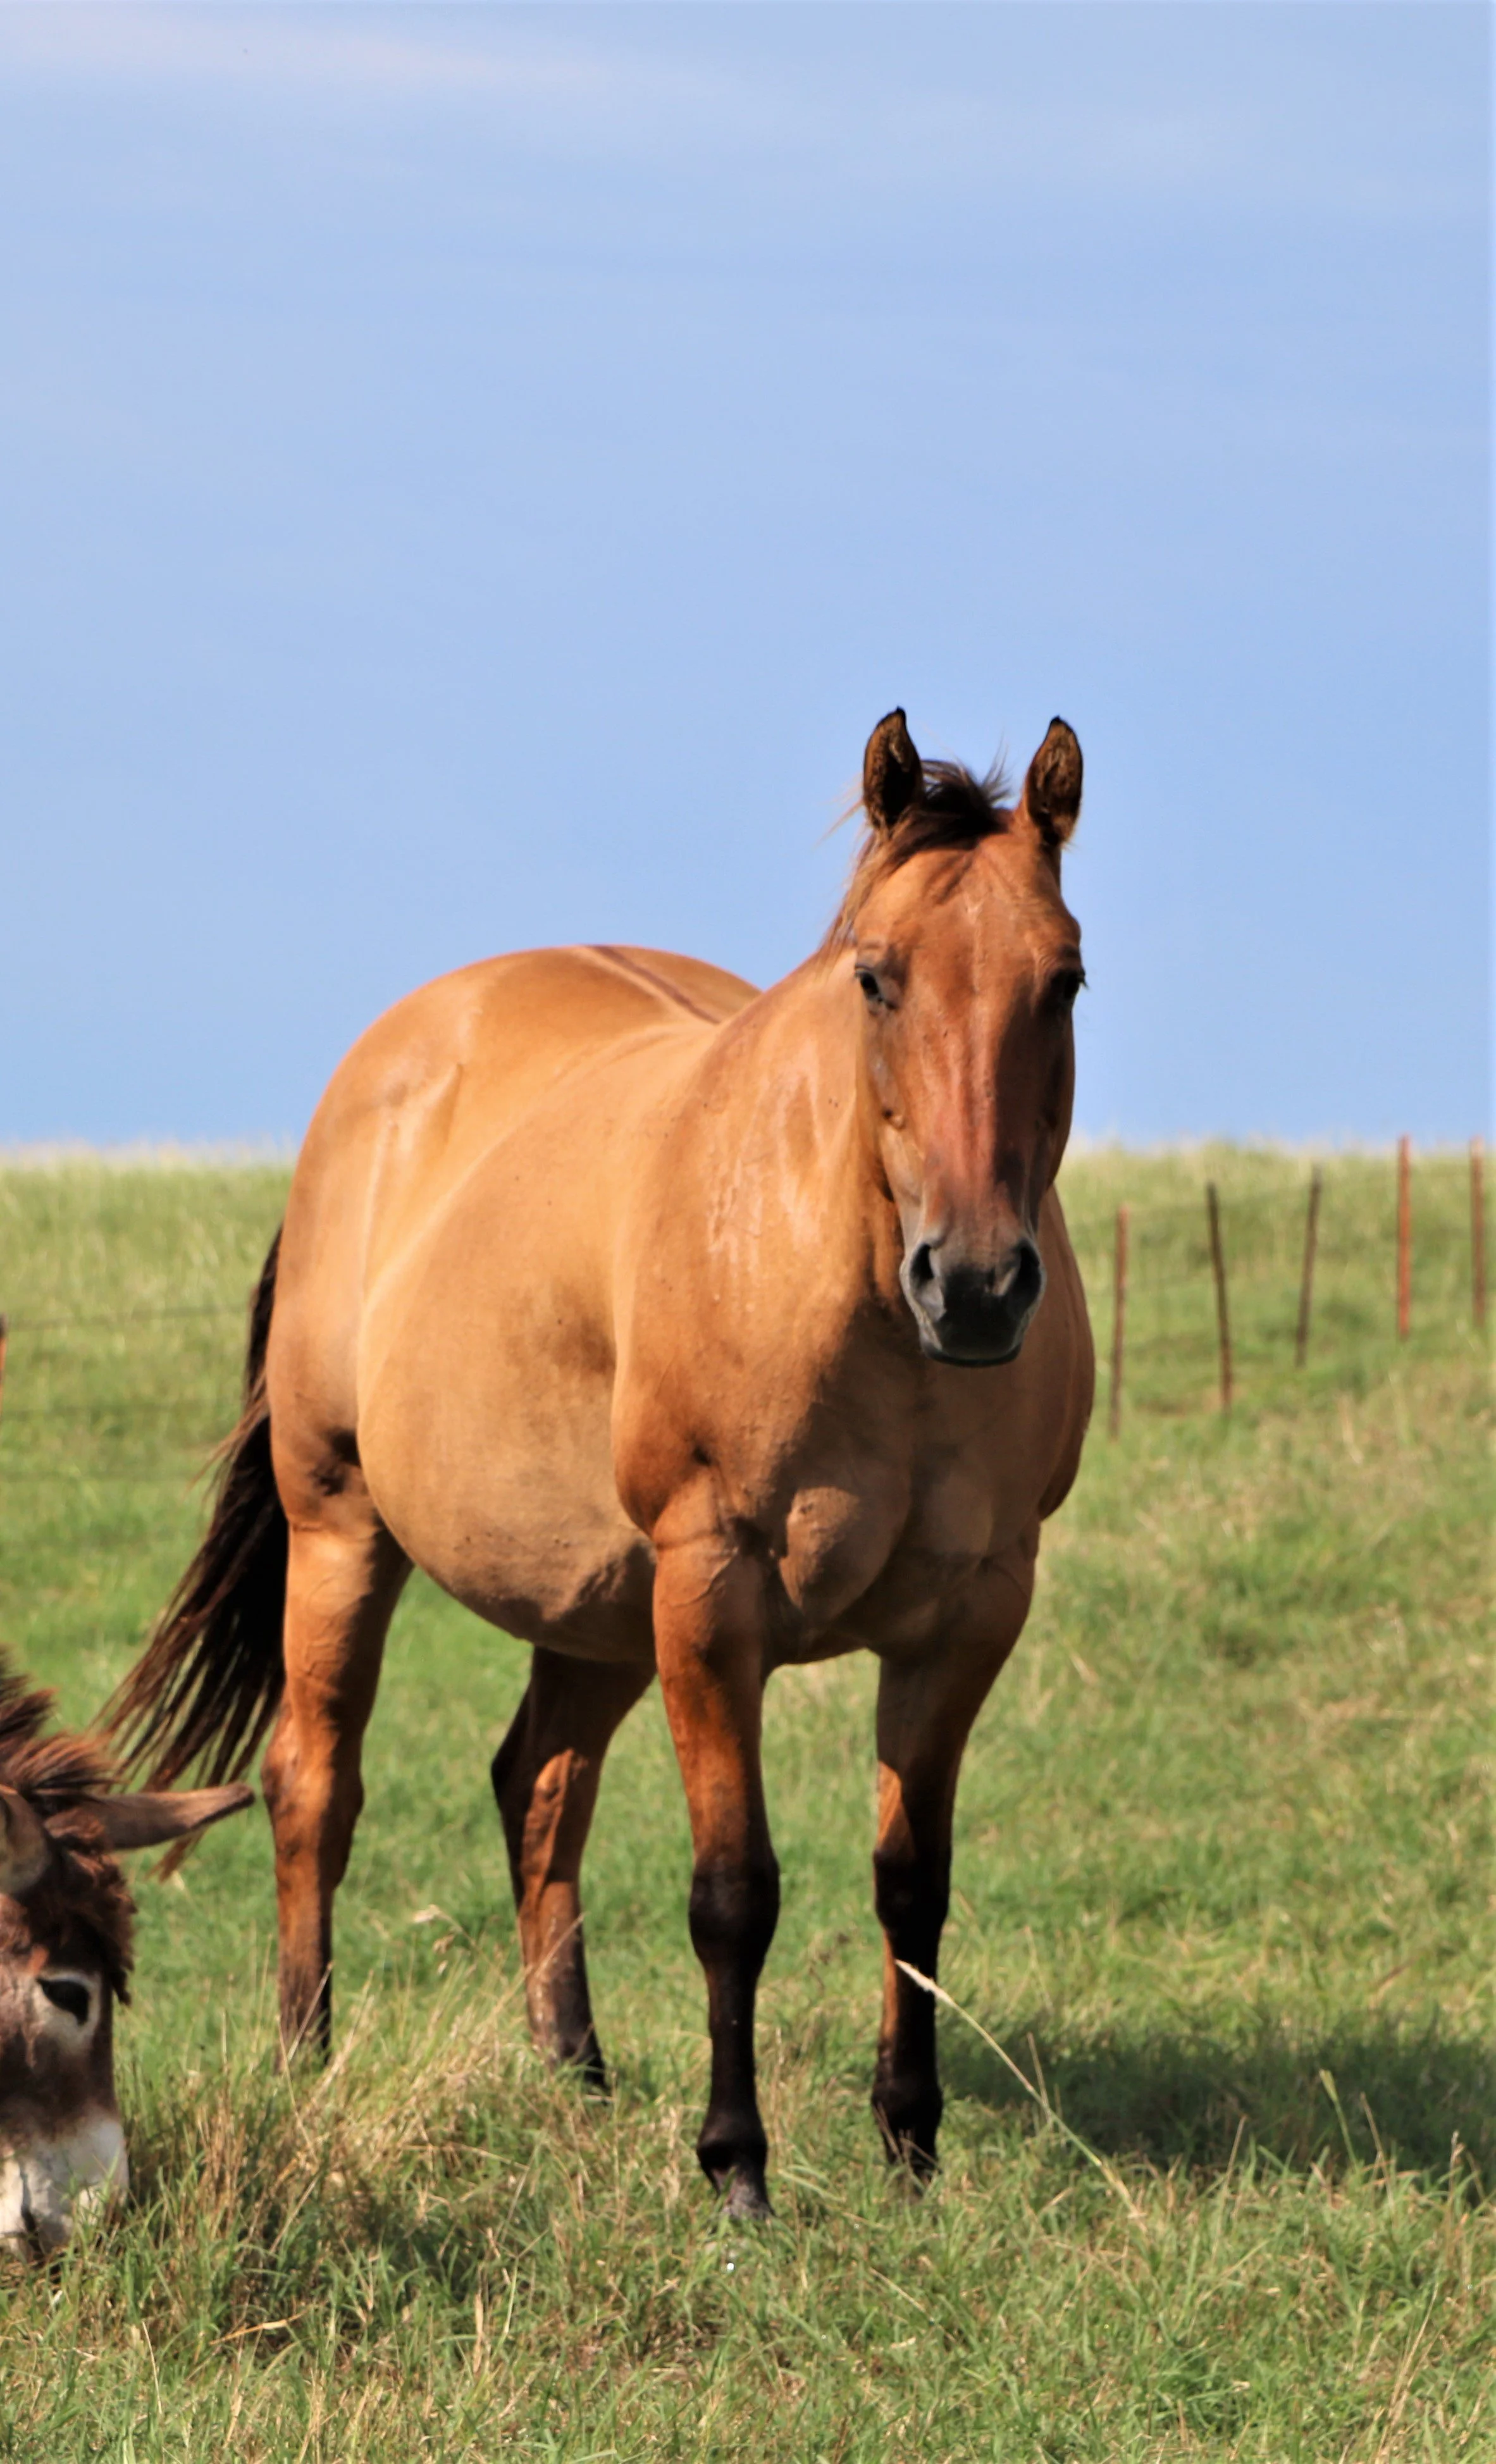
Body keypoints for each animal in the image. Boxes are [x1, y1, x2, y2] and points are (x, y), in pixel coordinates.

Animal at [108, 708, 1094, 2219]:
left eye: (1066, 980)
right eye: (876, 977)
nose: (978, 1286)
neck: (846, 1288)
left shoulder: (969, 1614)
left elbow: (912, 1887)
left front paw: (911, 2146)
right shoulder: (715, 1594)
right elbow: (734, 1890)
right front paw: (737, 2166)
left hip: (599, 1612)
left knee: (537, 1786)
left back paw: (572, 2068)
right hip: (347, 1532)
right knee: (314, 1781)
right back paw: (308, 2057)